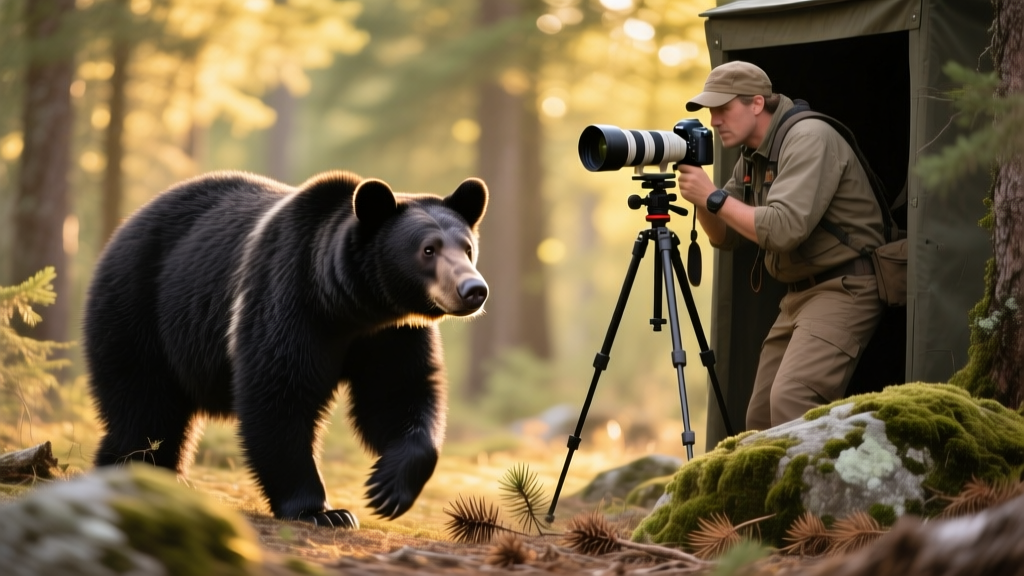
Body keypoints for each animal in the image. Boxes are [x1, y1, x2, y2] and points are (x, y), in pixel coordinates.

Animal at [83, 170, 488, 528]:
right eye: (428, 249)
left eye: (467, 247)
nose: (474, 289)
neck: (350, 304)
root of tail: (125, 225)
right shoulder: (290, 297)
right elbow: (279, 393)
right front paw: (323, 511)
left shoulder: (392, 332)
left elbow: (398, 393)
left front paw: (387, 487)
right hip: (140, 306)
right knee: (144, 403)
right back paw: (134, 470)